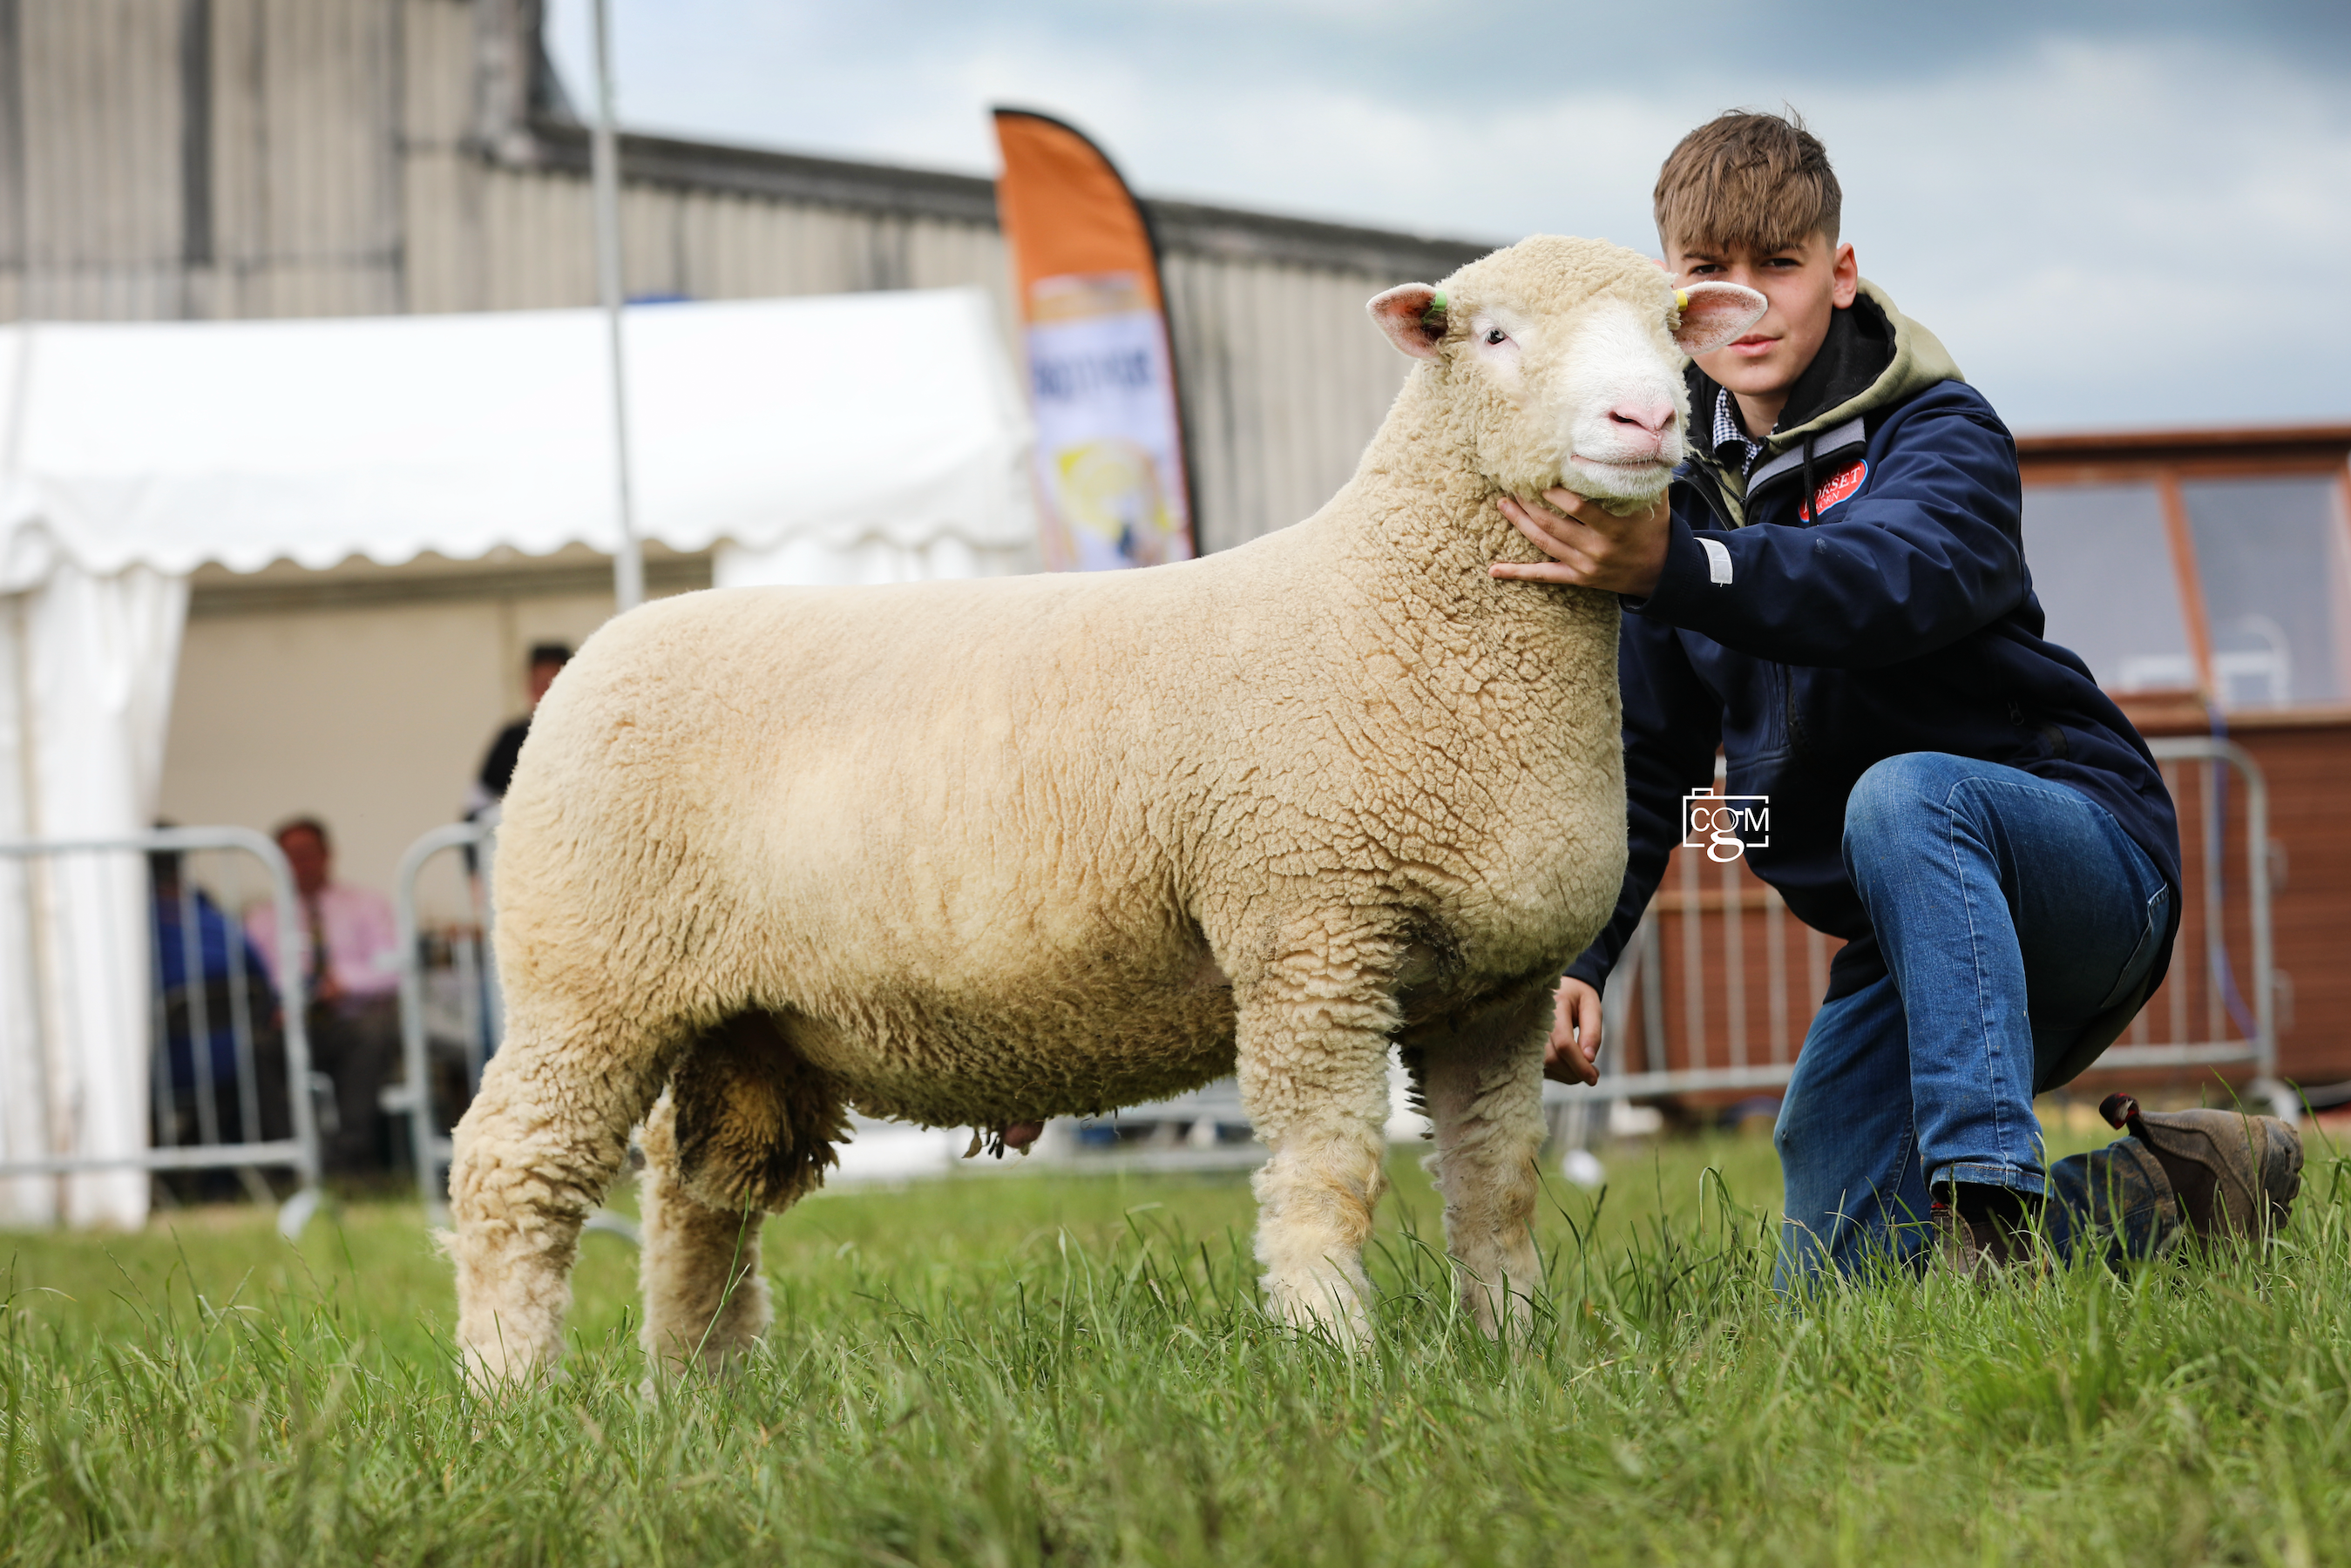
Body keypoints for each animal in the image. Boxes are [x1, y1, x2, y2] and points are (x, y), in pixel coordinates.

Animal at [445, 235, 1767, 1382]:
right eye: (1493, 335)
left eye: (1671, 329)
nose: (1645, 421)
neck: (1398, 611)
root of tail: (605, 646)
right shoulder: (1310, 943)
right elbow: (1327, 1174)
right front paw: (1333, 1352)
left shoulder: (1498, 989)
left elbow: (1497, 1187)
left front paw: (1517, 1353)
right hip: (587, 976)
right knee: (510, 1175)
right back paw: (514, 1390)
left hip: (739, 1016)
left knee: (695, 1196)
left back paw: (697, 1389)